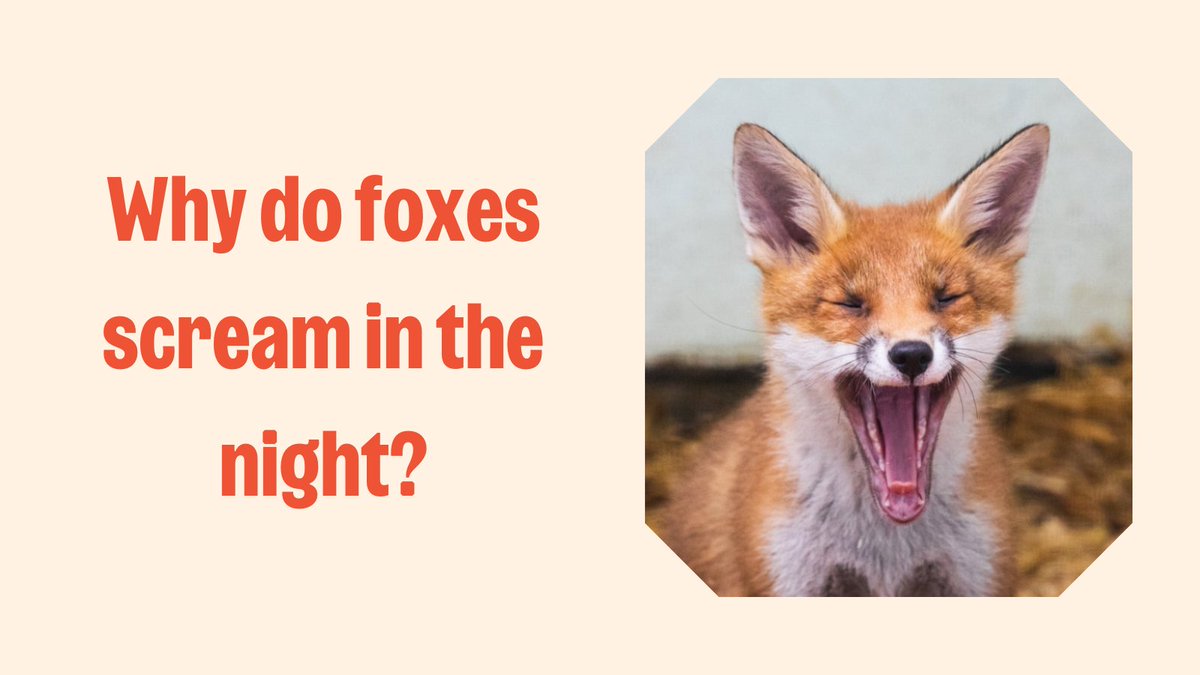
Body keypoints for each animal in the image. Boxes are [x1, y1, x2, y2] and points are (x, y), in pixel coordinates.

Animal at [660, 123, 1051, 596]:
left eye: (946, 298)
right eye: (850, 304)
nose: (911, 354)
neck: (884, 545)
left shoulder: (976, 577)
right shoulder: (787, 579)